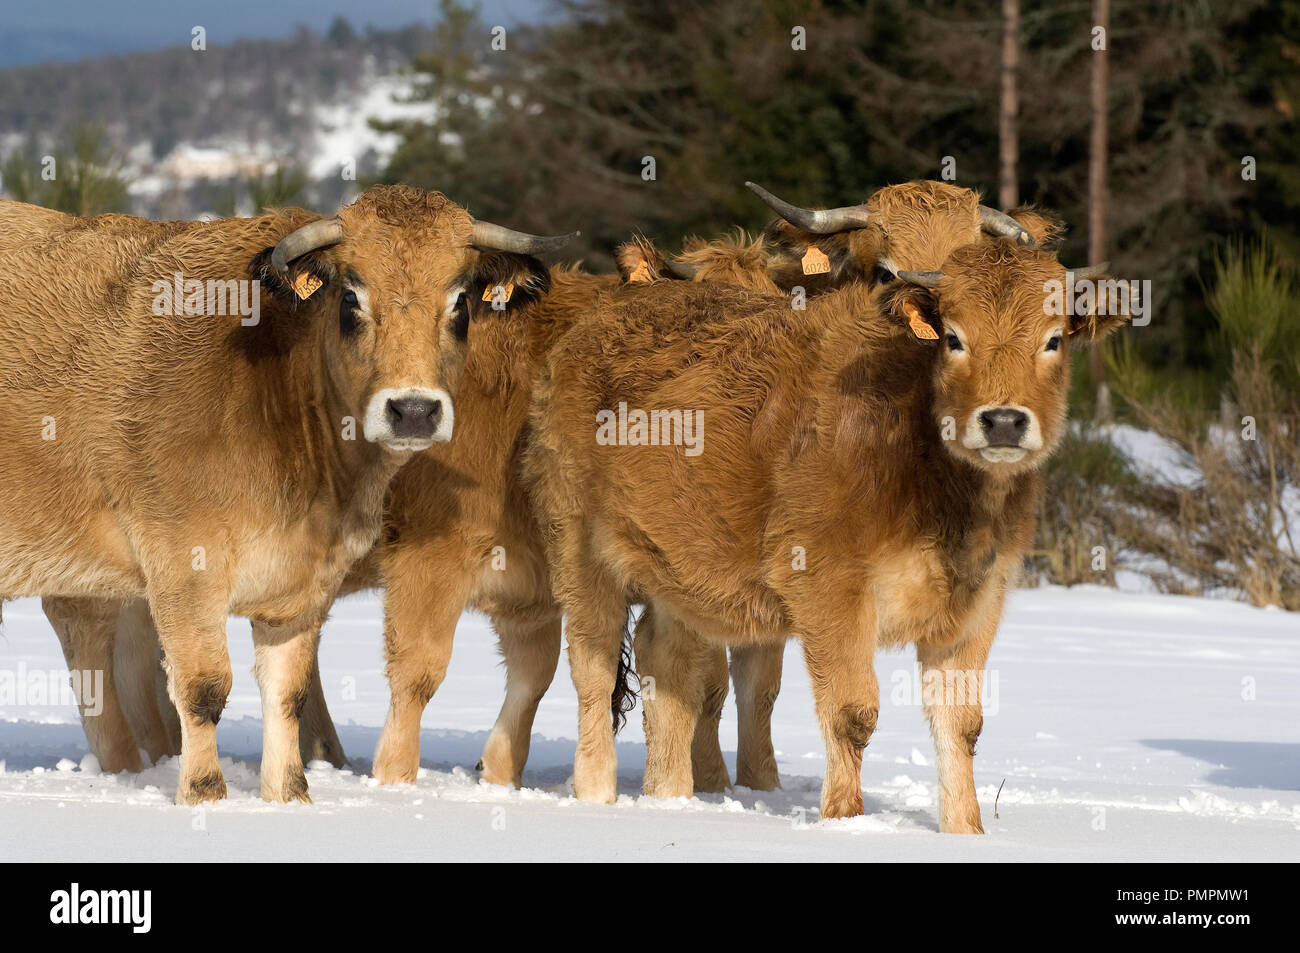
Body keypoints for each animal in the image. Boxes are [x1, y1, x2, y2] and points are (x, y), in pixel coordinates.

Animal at [0, 184, 573, 803]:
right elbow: (204, 687)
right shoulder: (183, 564)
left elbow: (286, 692)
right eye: (350, 298)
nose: (414, 409)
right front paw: (205, 792)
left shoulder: (303, 585)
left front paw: (288, 795)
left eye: (461, 302)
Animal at [524, 214, 1125, 832]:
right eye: (954, 337)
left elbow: (962, 724)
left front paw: (966, 830)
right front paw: (845, 822)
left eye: (1053, 339)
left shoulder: (978, 603)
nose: (1003, 420)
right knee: (593, 667)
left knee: (667, 669)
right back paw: (598, 794)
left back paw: (670, 798)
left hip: (680, 575)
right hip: (579, 548)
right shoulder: (828, 587)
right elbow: (852, 712)